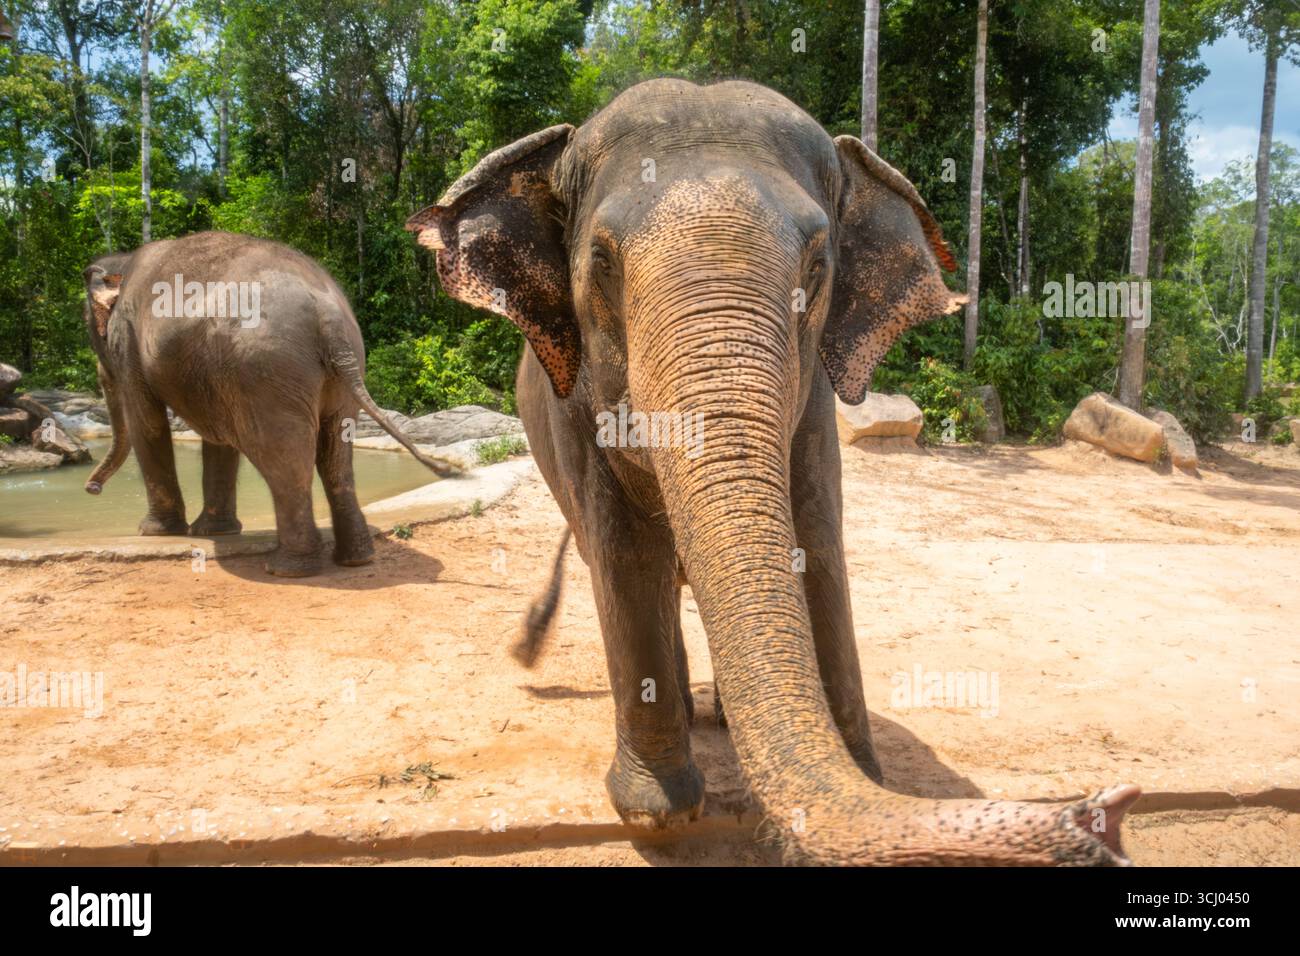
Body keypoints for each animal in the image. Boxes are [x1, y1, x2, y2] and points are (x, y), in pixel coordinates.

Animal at [82, 231, 454, 577]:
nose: (91, 488)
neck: (123, 261)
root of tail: (328, 317)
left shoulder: (128, 339)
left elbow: (147, 423)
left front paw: (154, 532)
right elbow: (218, 437)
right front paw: (215, 531)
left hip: (265, 371)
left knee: (285, 457)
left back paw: (286, 569)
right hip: (335, 373)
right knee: (336, 454)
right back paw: (355, 558)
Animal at [406, 79, 1139, 865]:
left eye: (817, 269)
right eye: (601, 262)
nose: (1105, 813)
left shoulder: (814, 404)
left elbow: (815, 543)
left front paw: (858, 773)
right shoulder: (574, 411)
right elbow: (625, 553)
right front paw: (657, 814)